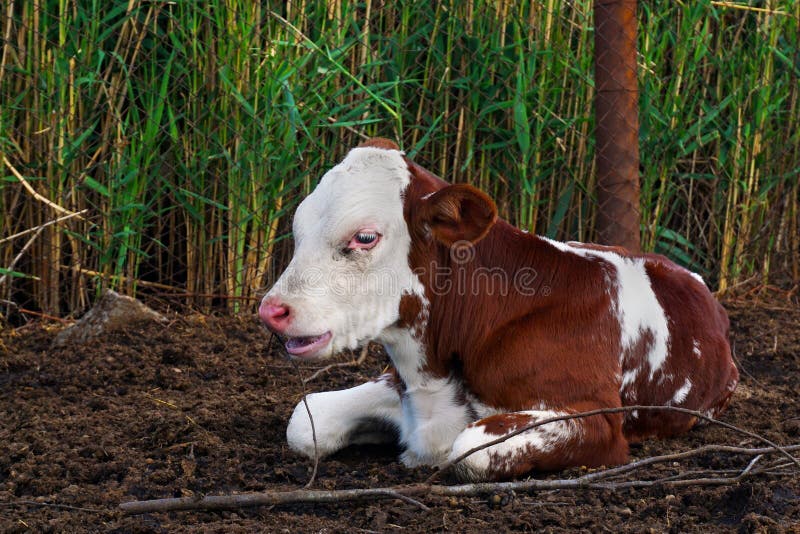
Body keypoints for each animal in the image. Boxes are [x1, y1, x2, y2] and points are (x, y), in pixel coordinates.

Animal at [259, 138, 739, 481]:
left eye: (365, 237)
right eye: (299, 226)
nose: (271, 311)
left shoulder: (597, 418)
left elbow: (469, 447)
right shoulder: (399, 382)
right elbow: (304, 418)